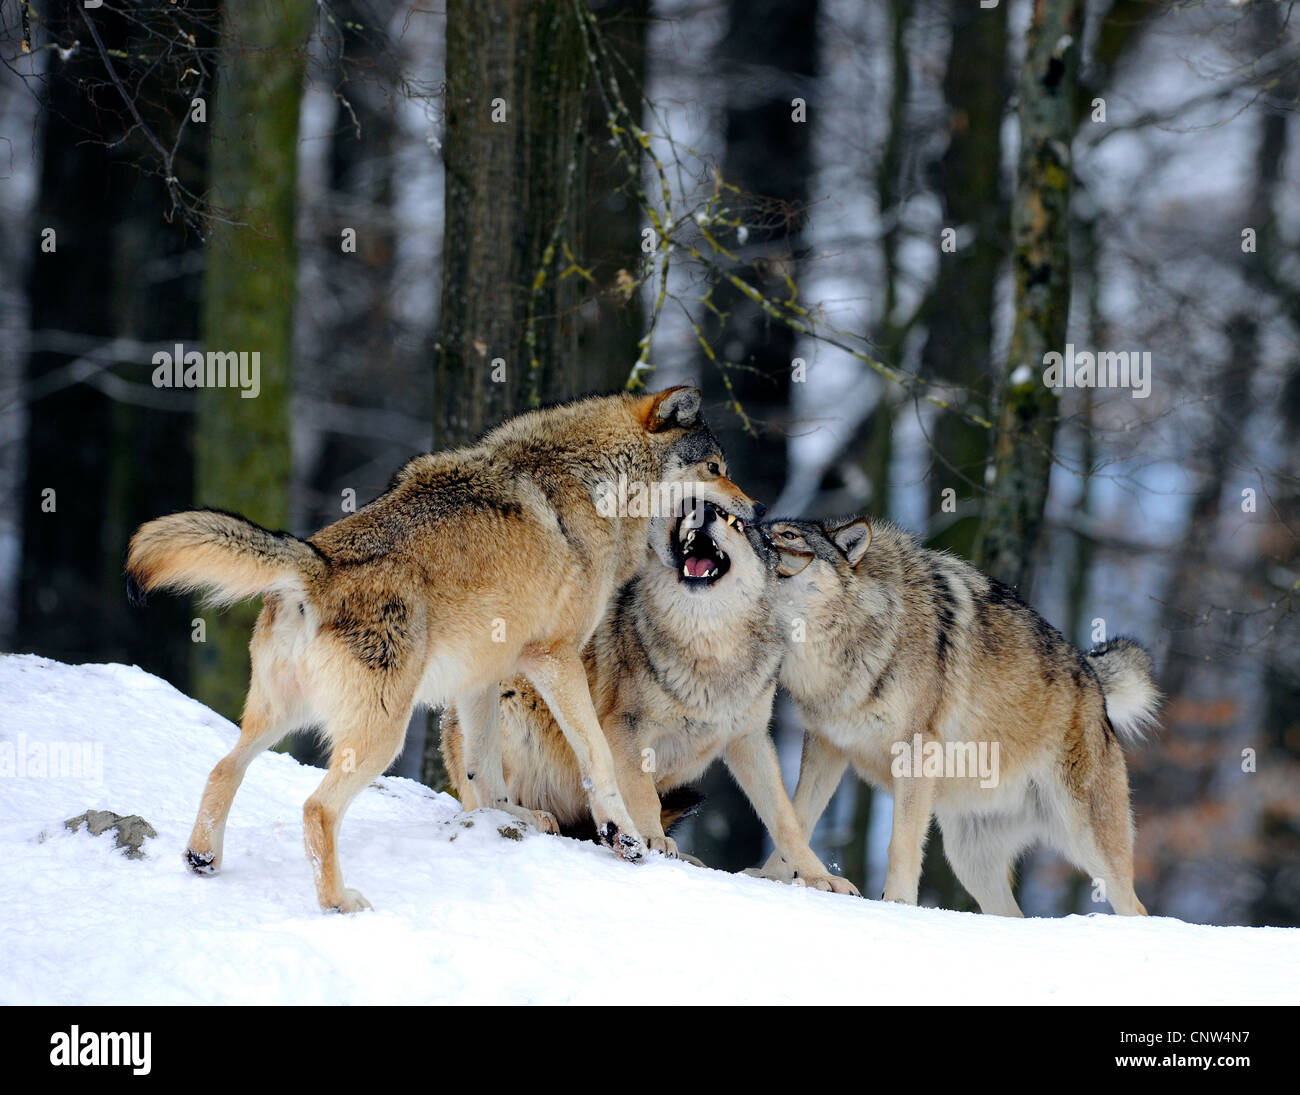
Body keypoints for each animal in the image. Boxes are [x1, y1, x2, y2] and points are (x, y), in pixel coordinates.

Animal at [126, 387, 762, 912]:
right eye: (716, 469)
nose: (753, 509)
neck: (601, 482)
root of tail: (316, 568)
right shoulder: (553, 658)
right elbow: (598, 756)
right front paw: (624, 837)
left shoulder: (484, 676)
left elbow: (484, 770)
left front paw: (505, 819)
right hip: (382, 734)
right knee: (316, 809)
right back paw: (339, 904)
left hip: (280, 716)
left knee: (222, 768)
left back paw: (202, 859)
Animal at [441, 499, 859, 894]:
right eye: (705, 507)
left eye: (734, 522)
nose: (703, 511)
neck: (710, 649)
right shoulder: (626, 728)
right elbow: (643, 795)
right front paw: (652, 839)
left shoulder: (749, 739)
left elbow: (786, 820)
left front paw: (821, 877)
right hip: (511, 710)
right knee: (485, 798)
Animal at [758, 515, 1159, 916]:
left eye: (789, 536)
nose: (751, 531)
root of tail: (1092, 675)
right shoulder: (826, 744)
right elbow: (796, 815)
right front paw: (768, 879)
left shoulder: (914, 749)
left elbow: (901, 842)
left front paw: (898, 904)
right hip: (970, 860)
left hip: (1087, 841)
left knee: (1137, 908)